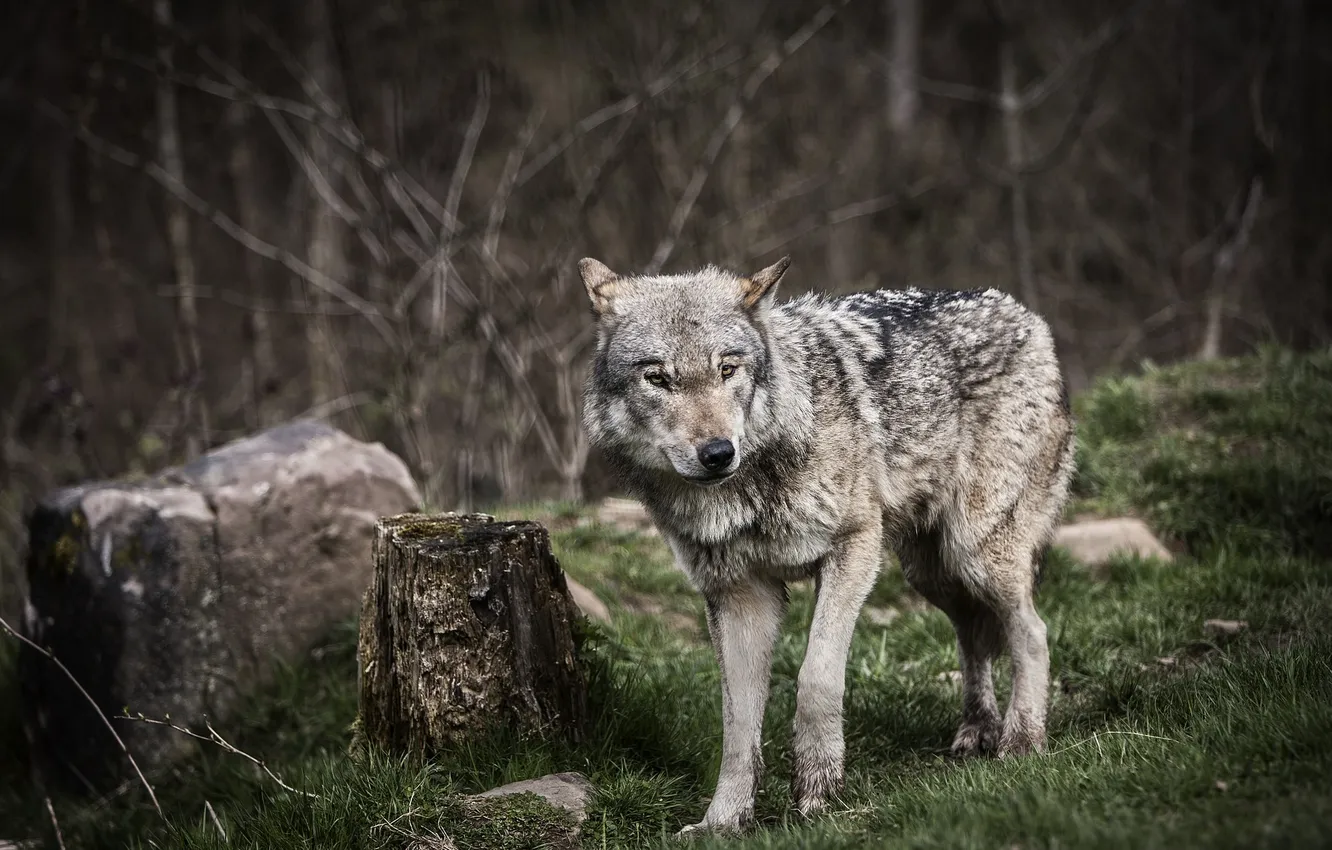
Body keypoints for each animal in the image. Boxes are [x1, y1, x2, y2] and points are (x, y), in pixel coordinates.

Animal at [578, 255, 1076, 836]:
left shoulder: (852, 550)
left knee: (1032, 632)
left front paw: (818, 792)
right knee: (975, 633)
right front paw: (723, 820)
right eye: (657, 378)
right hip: (932, 573)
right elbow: (737, 725)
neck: (749, 488)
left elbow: (816, 679)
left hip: (975, 553)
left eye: (728, 369)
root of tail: (1026, 315)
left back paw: (1022, 740)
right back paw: (978, 730)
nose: (718, 452)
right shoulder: (738, 595)